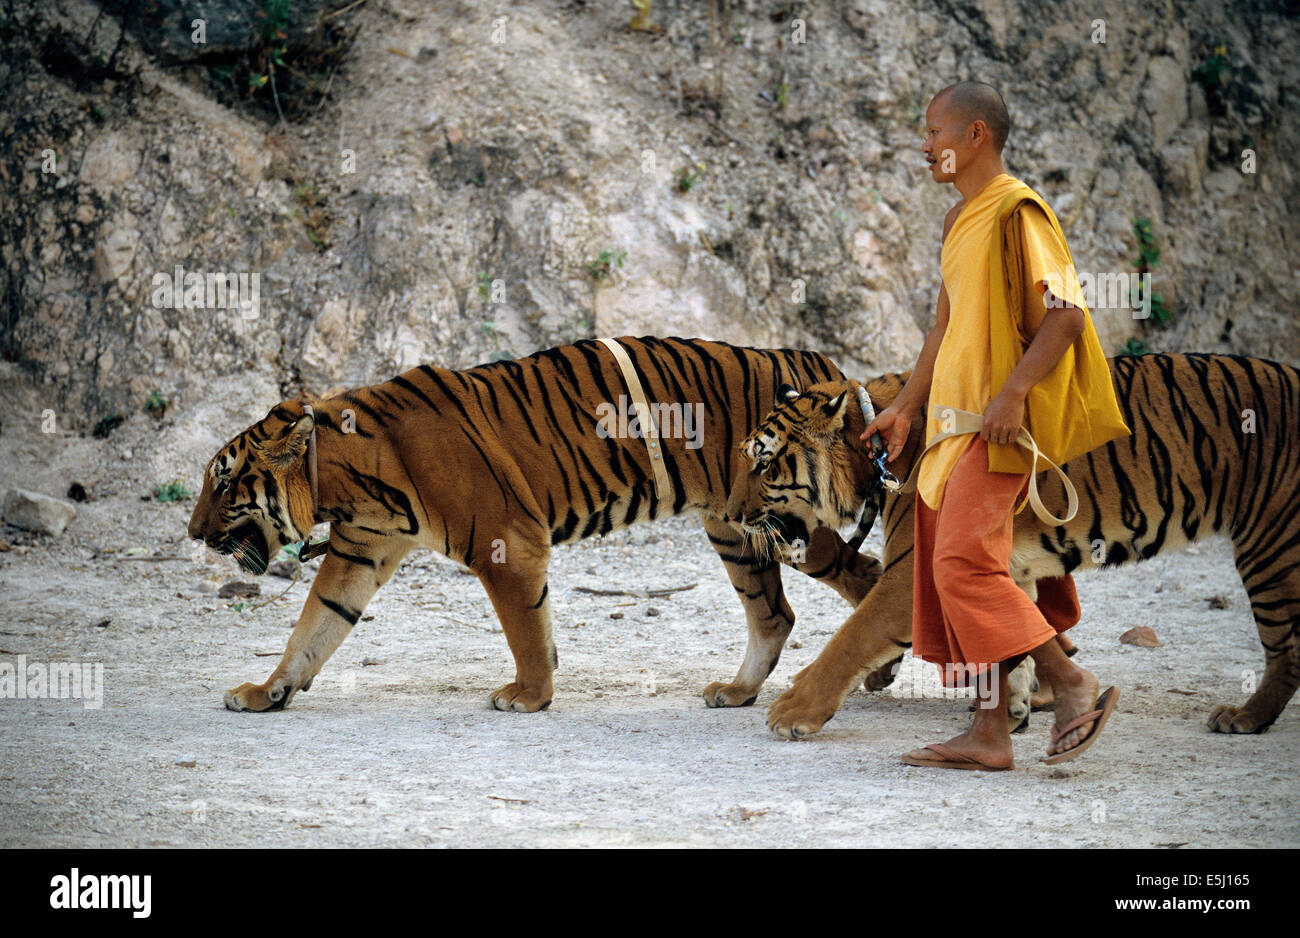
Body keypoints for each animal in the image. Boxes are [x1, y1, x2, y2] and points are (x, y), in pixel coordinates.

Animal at [187, 336, 884, 714]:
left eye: (223, 481)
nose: (191, 532)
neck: (343, 480)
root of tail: (813, 362)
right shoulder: (359, 552)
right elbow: (313, 628)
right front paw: (268, 692)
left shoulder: (505, 542)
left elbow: (526, 629)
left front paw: (528, 694)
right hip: (735, 530)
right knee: (776, 615)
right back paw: (741, 691)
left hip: (787, 523)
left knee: (867, 572)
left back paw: (876, 673)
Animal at [724, 352, 1300, 739]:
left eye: (765, 464)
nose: (729, 515)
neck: (878, 458)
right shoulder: (1006, 563)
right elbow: (1013, 639)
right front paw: (1014, 709)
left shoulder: (915, 573)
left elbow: (851, 637)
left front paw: (793, 710)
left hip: (1269, 544)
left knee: (1286, 650)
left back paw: (1244, 717)